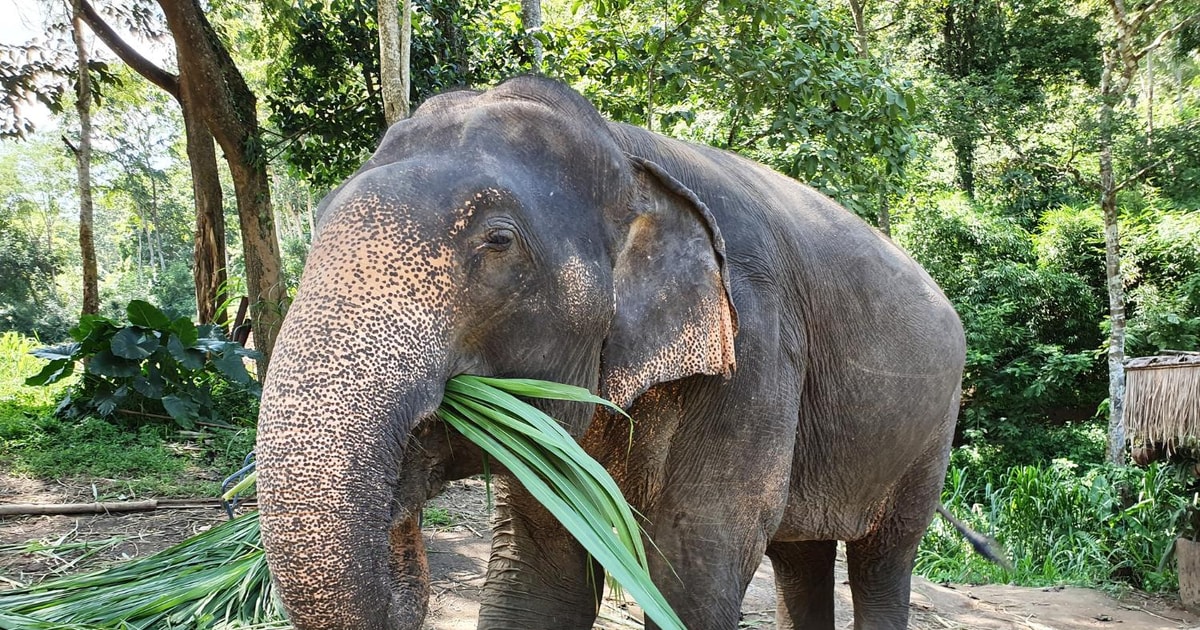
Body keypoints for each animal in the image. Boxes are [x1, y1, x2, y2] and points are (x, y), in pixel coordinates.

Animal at [257, 75, 966, 630]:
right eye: (318, 218)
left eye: (498, 241)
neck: (629, 154)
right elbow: (540, 575)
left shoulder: (757, 350)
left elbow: (694, 569)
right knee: (800, 552)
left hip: (931, 431)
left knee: (884, 557)